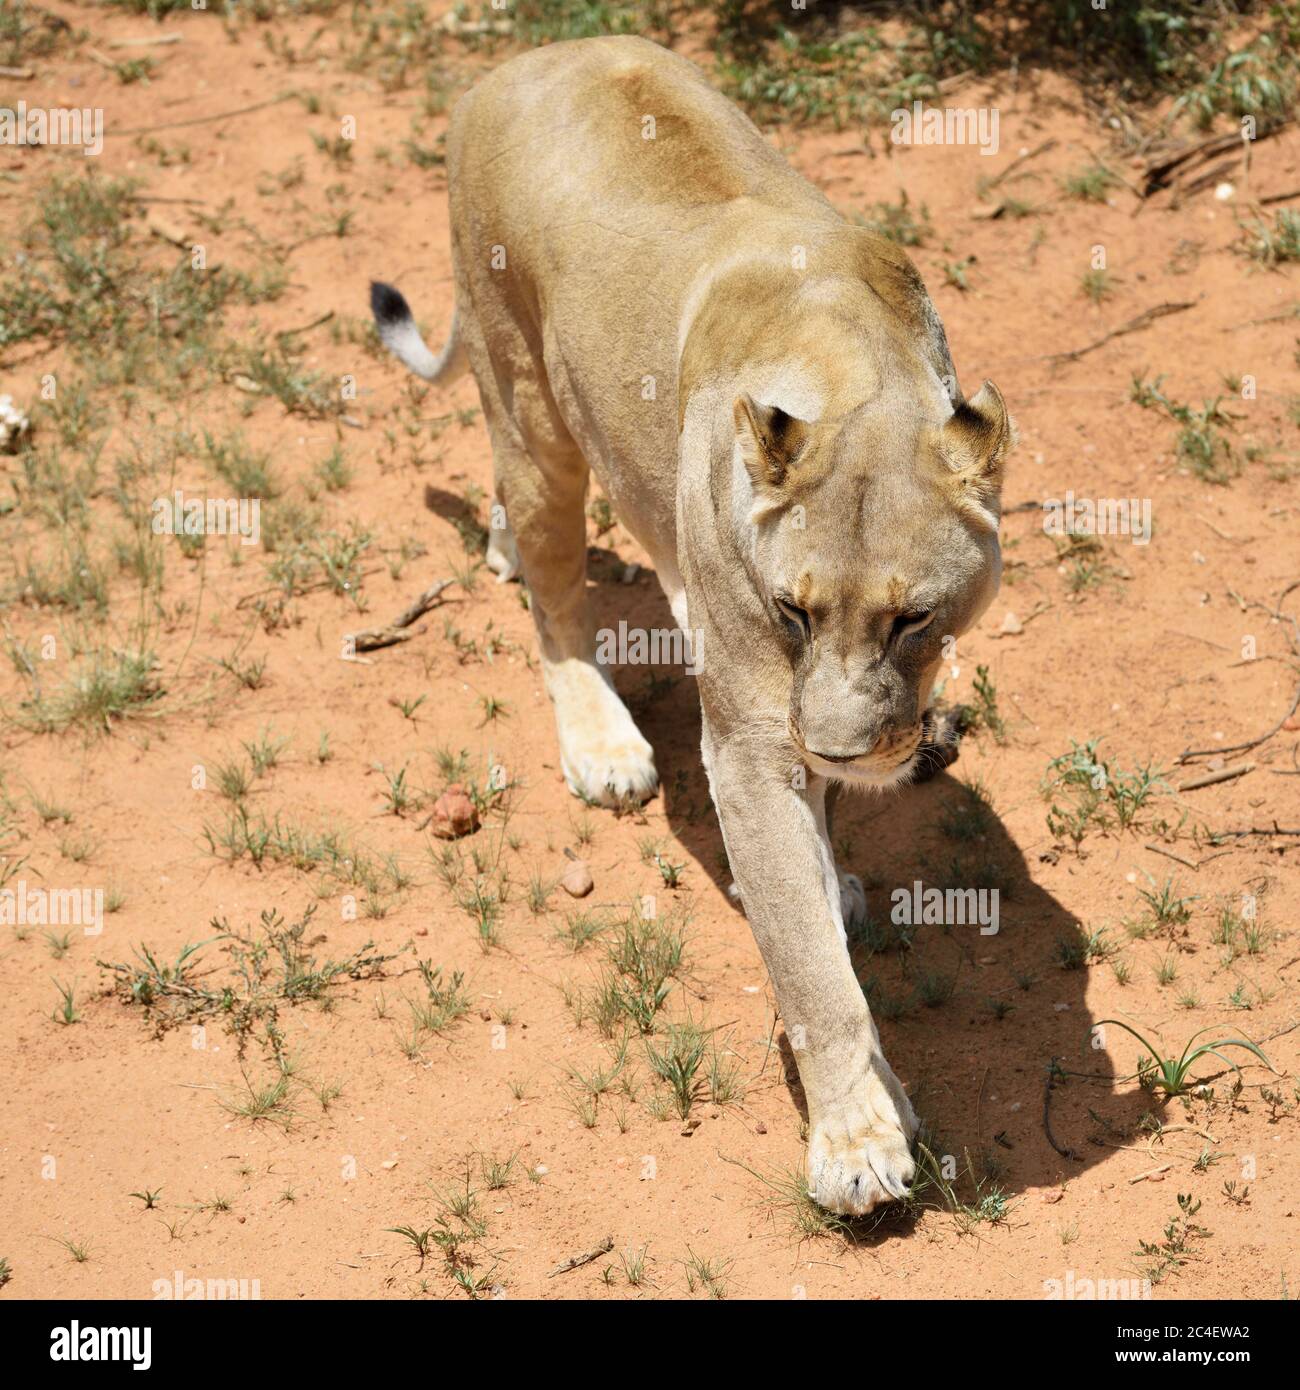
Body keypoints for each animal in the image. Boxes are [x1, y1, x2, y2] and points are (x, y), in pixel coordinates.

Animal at [371, 35, 1015, 1215]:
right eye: (793, 609)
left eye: (913, 618)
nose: (841, 750)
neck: (848, 361)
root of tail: (516, 62)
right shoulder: (752, 739)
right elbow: (810, 968)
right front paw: (858, 1141)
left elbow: (816, 858)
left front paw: (835, 875)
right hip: (530, 399)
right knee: (555, 598)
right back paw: (600, 739)